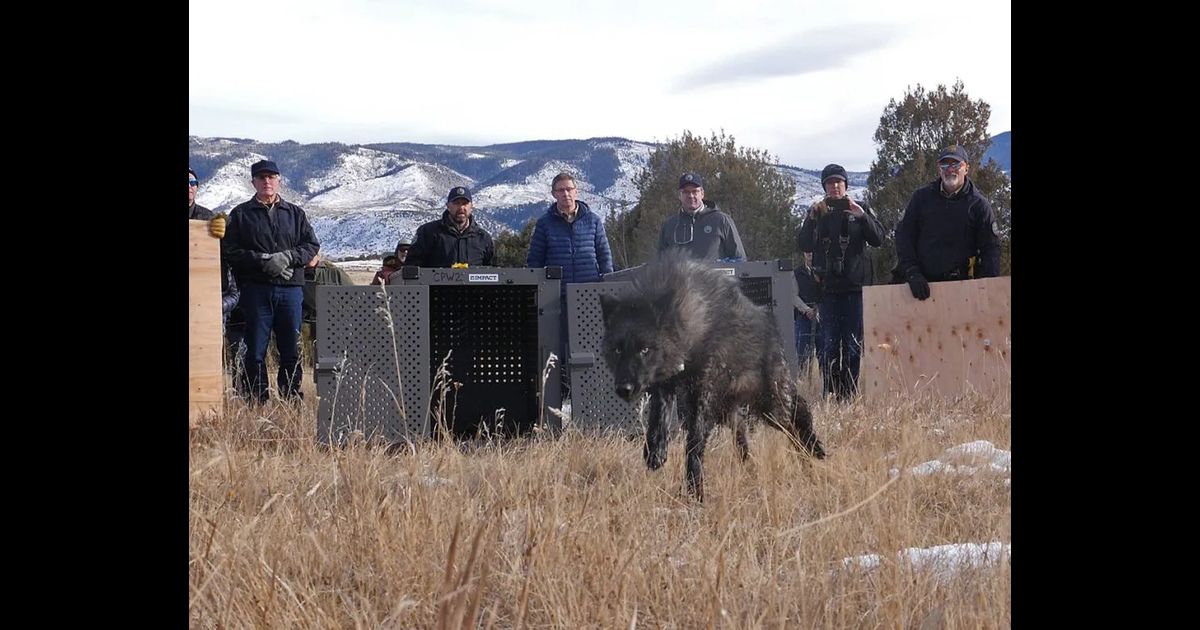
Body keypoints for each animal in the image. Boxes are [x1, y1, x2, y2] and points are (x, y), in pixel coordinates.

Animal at [598, 252, 826, 501]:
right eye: (617, 350)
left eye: (645, 349)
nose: (624, 388)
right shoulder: (665, 387)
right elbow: (658, 420)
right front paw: (656, 452)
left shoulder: (702, 396)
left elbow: (694, 443)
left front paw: (694, 490)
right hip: (732, 412)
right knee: (744, 438)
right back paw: (754, 468)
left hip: (771, 406)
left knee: (798, 414)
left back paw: (813, 451)